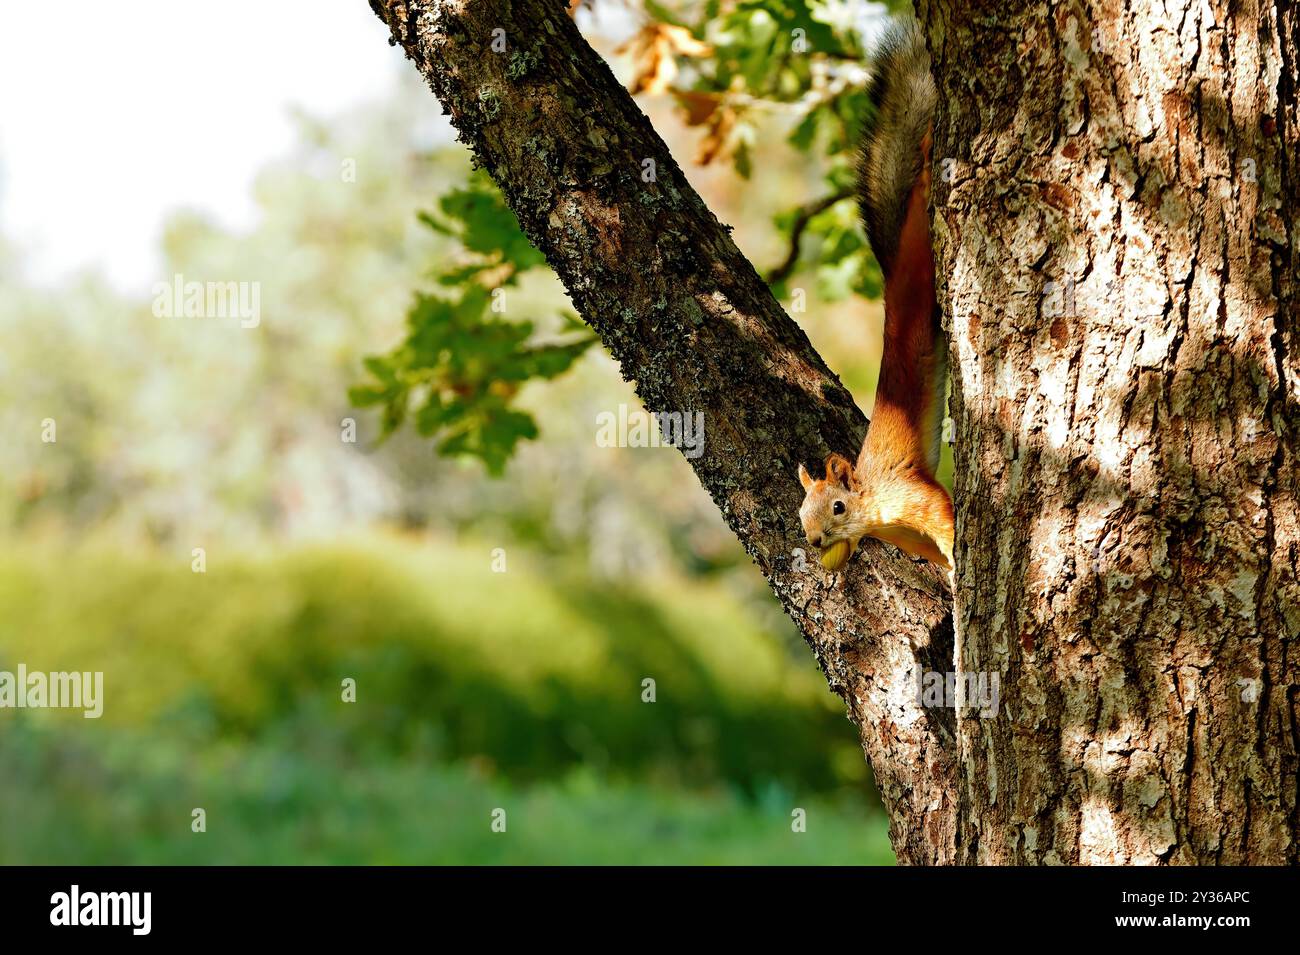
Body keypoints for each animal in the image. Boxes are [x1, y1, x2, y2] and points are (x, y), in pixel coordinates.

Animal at [798, 22, 954, 572]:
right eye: (801, 515)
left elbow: (947, 518)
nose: (815, 541)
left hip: (924, 255)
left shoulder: (915, 496)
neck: (876, 514)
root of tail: (893, 273)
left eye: (837, 506)